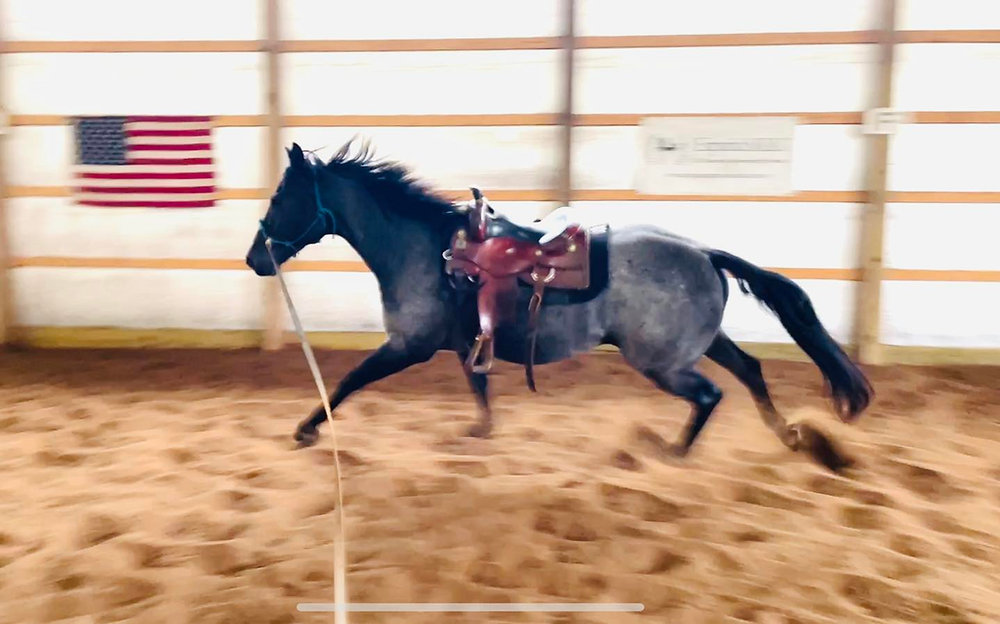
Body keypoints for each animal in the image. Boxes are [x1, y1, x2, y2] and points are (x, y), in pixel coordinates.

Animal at [245, 140, 873, 472]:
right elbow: (479, 390)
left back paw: (671, 451)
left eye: (281, 197)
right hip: (698, 346)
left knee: (711, 394)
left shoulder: (408, 346)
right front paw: (480, 433)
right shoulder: (464, 344)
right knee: (751, 370)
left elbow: (348, 380)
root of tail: (703, 252)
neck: (426, 250)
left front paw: (306, 430)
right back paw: (790, 435)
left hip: (663, 363)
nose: (255, 257)